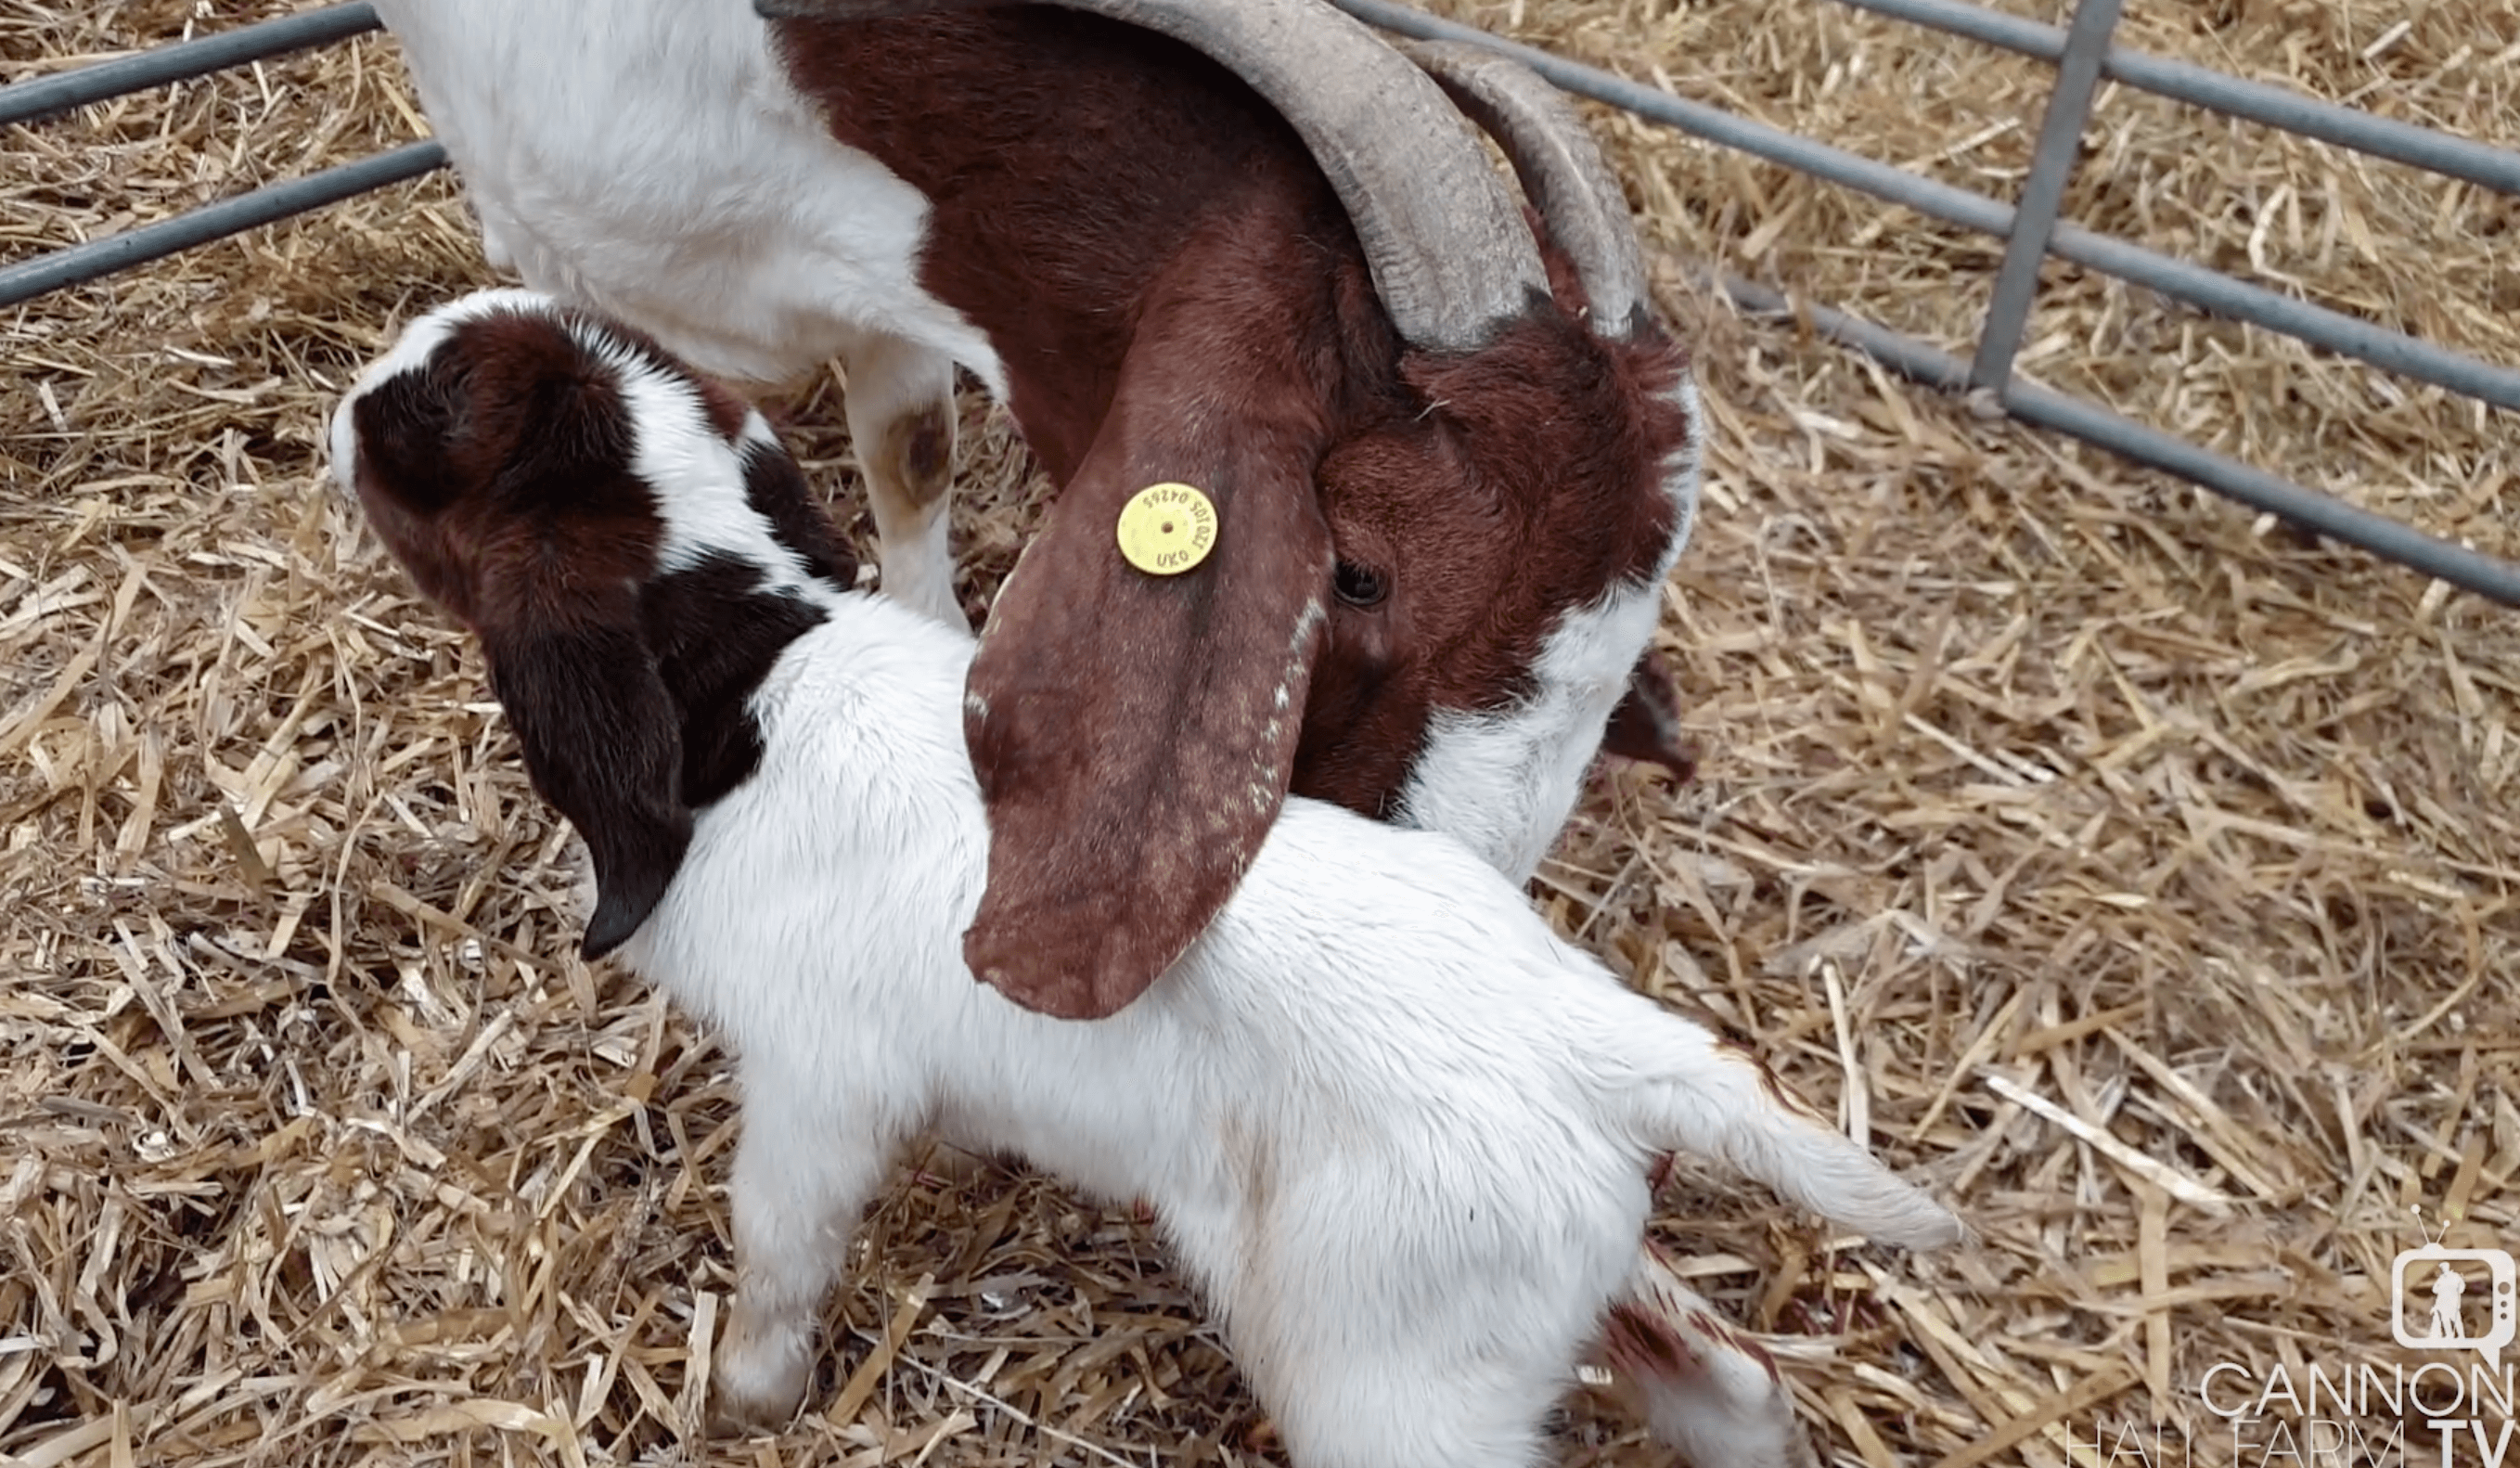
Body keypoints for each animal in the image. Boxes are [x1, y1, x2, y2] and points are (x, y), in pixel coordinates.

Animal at [330, 288, 1962, 1467]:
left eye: (429, 436)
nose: (346, 405)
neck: (746, 677)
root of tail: (1608, 1048)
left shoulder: (815, 1090)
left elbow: (782, 1252)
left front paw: (745, 1399)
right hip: (1552, 1278)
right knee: (1736, 1388)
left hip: (1397, 1383)